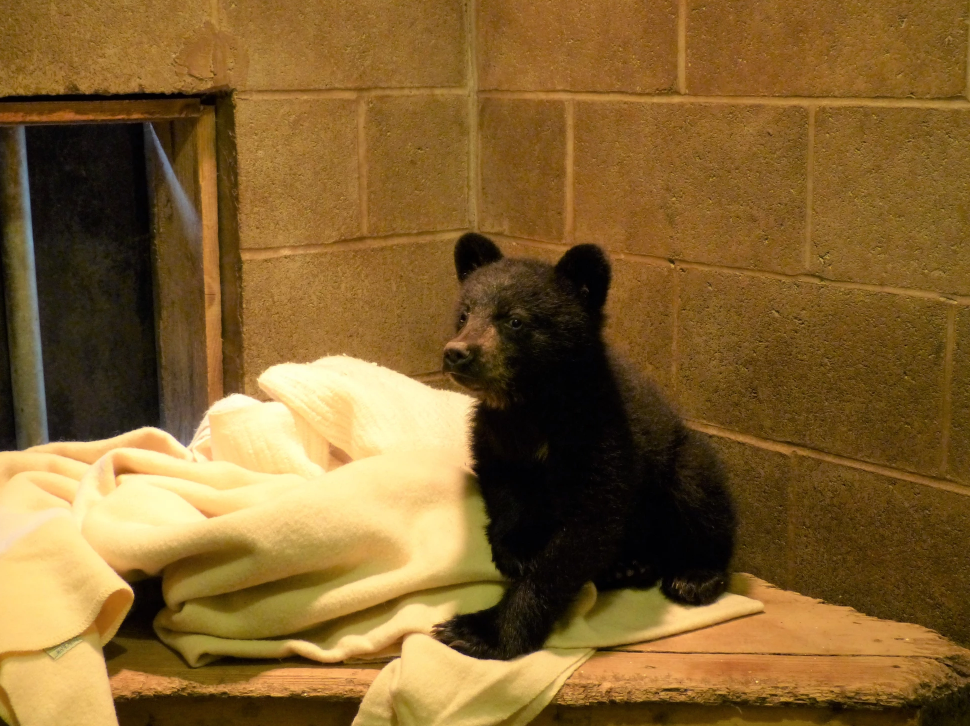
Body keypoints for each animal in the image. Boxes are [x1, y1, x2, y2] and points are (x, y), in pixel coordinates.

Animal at [431, 232, 737, 661]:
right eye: (464, 314)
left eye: (514, 320)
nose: (458, 353)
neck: (533, 409)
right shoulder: (496, 440)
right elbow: (504, 493)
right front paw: (517, 551)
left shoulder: (602, 439)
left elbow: (585, 531)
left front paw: (477, 630)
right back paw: (629, 566)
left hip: (683, 463)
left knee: (700, 499)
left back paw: (694, 576)